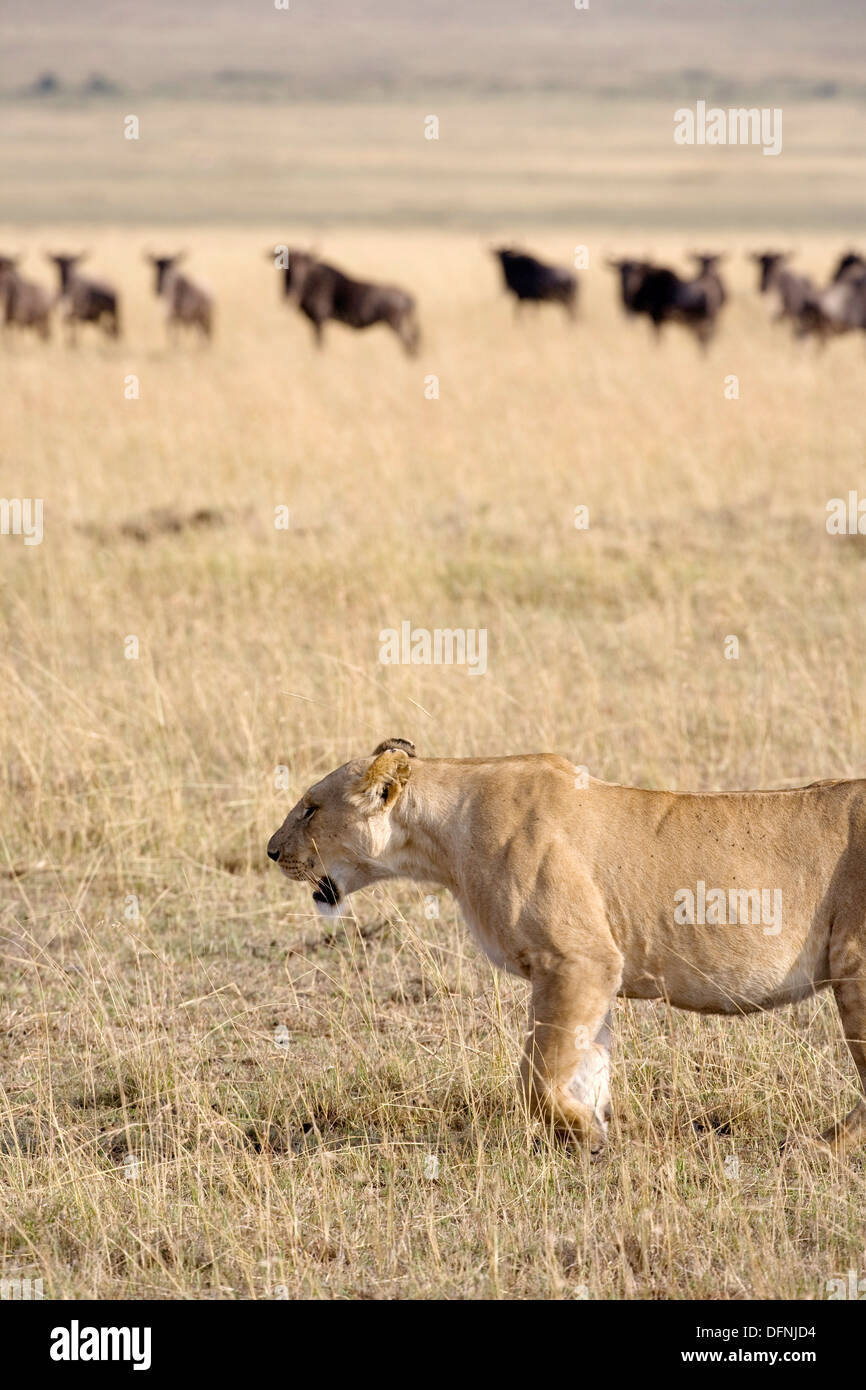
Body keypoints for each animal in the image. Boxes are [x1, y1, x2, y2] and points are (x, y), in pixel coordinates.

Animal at [266, 738, 866, 1153]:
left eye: (310, 807)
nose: (271, 851)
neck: (443, 838)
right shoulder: (591, 974)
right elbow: (586, 1065)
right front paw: (591, 1133)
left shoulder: (579, 961)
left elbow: (535, 1077)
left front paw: (585, 1136)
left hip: (855, 969)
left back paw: (821, 1149)